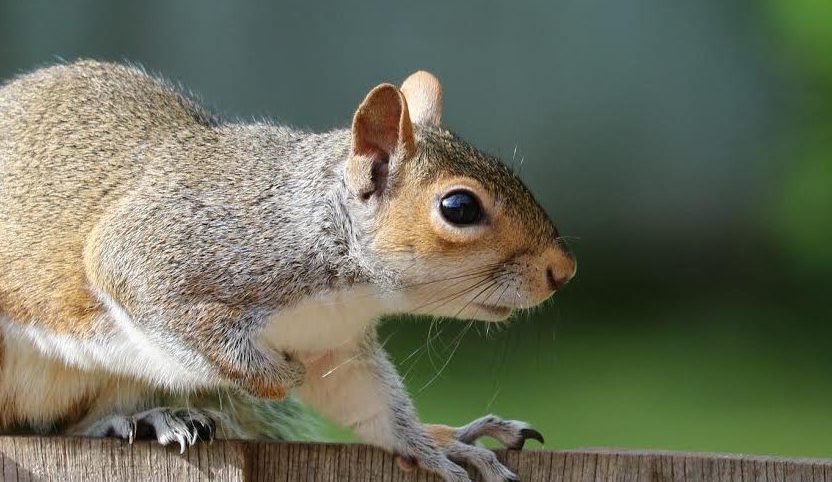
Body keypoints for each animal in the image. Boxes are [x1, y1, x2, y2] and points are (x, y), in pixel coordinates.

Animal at [0, 60, 576, 482]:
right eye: (459, 207)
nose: (564, 270)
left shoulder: (333, 346)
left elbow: (369, 404)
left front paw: (435, 446)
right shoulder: (164, 251)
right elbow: (148, 294)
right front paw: (276, 376)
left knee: (71, 426)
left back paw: (147, 416)